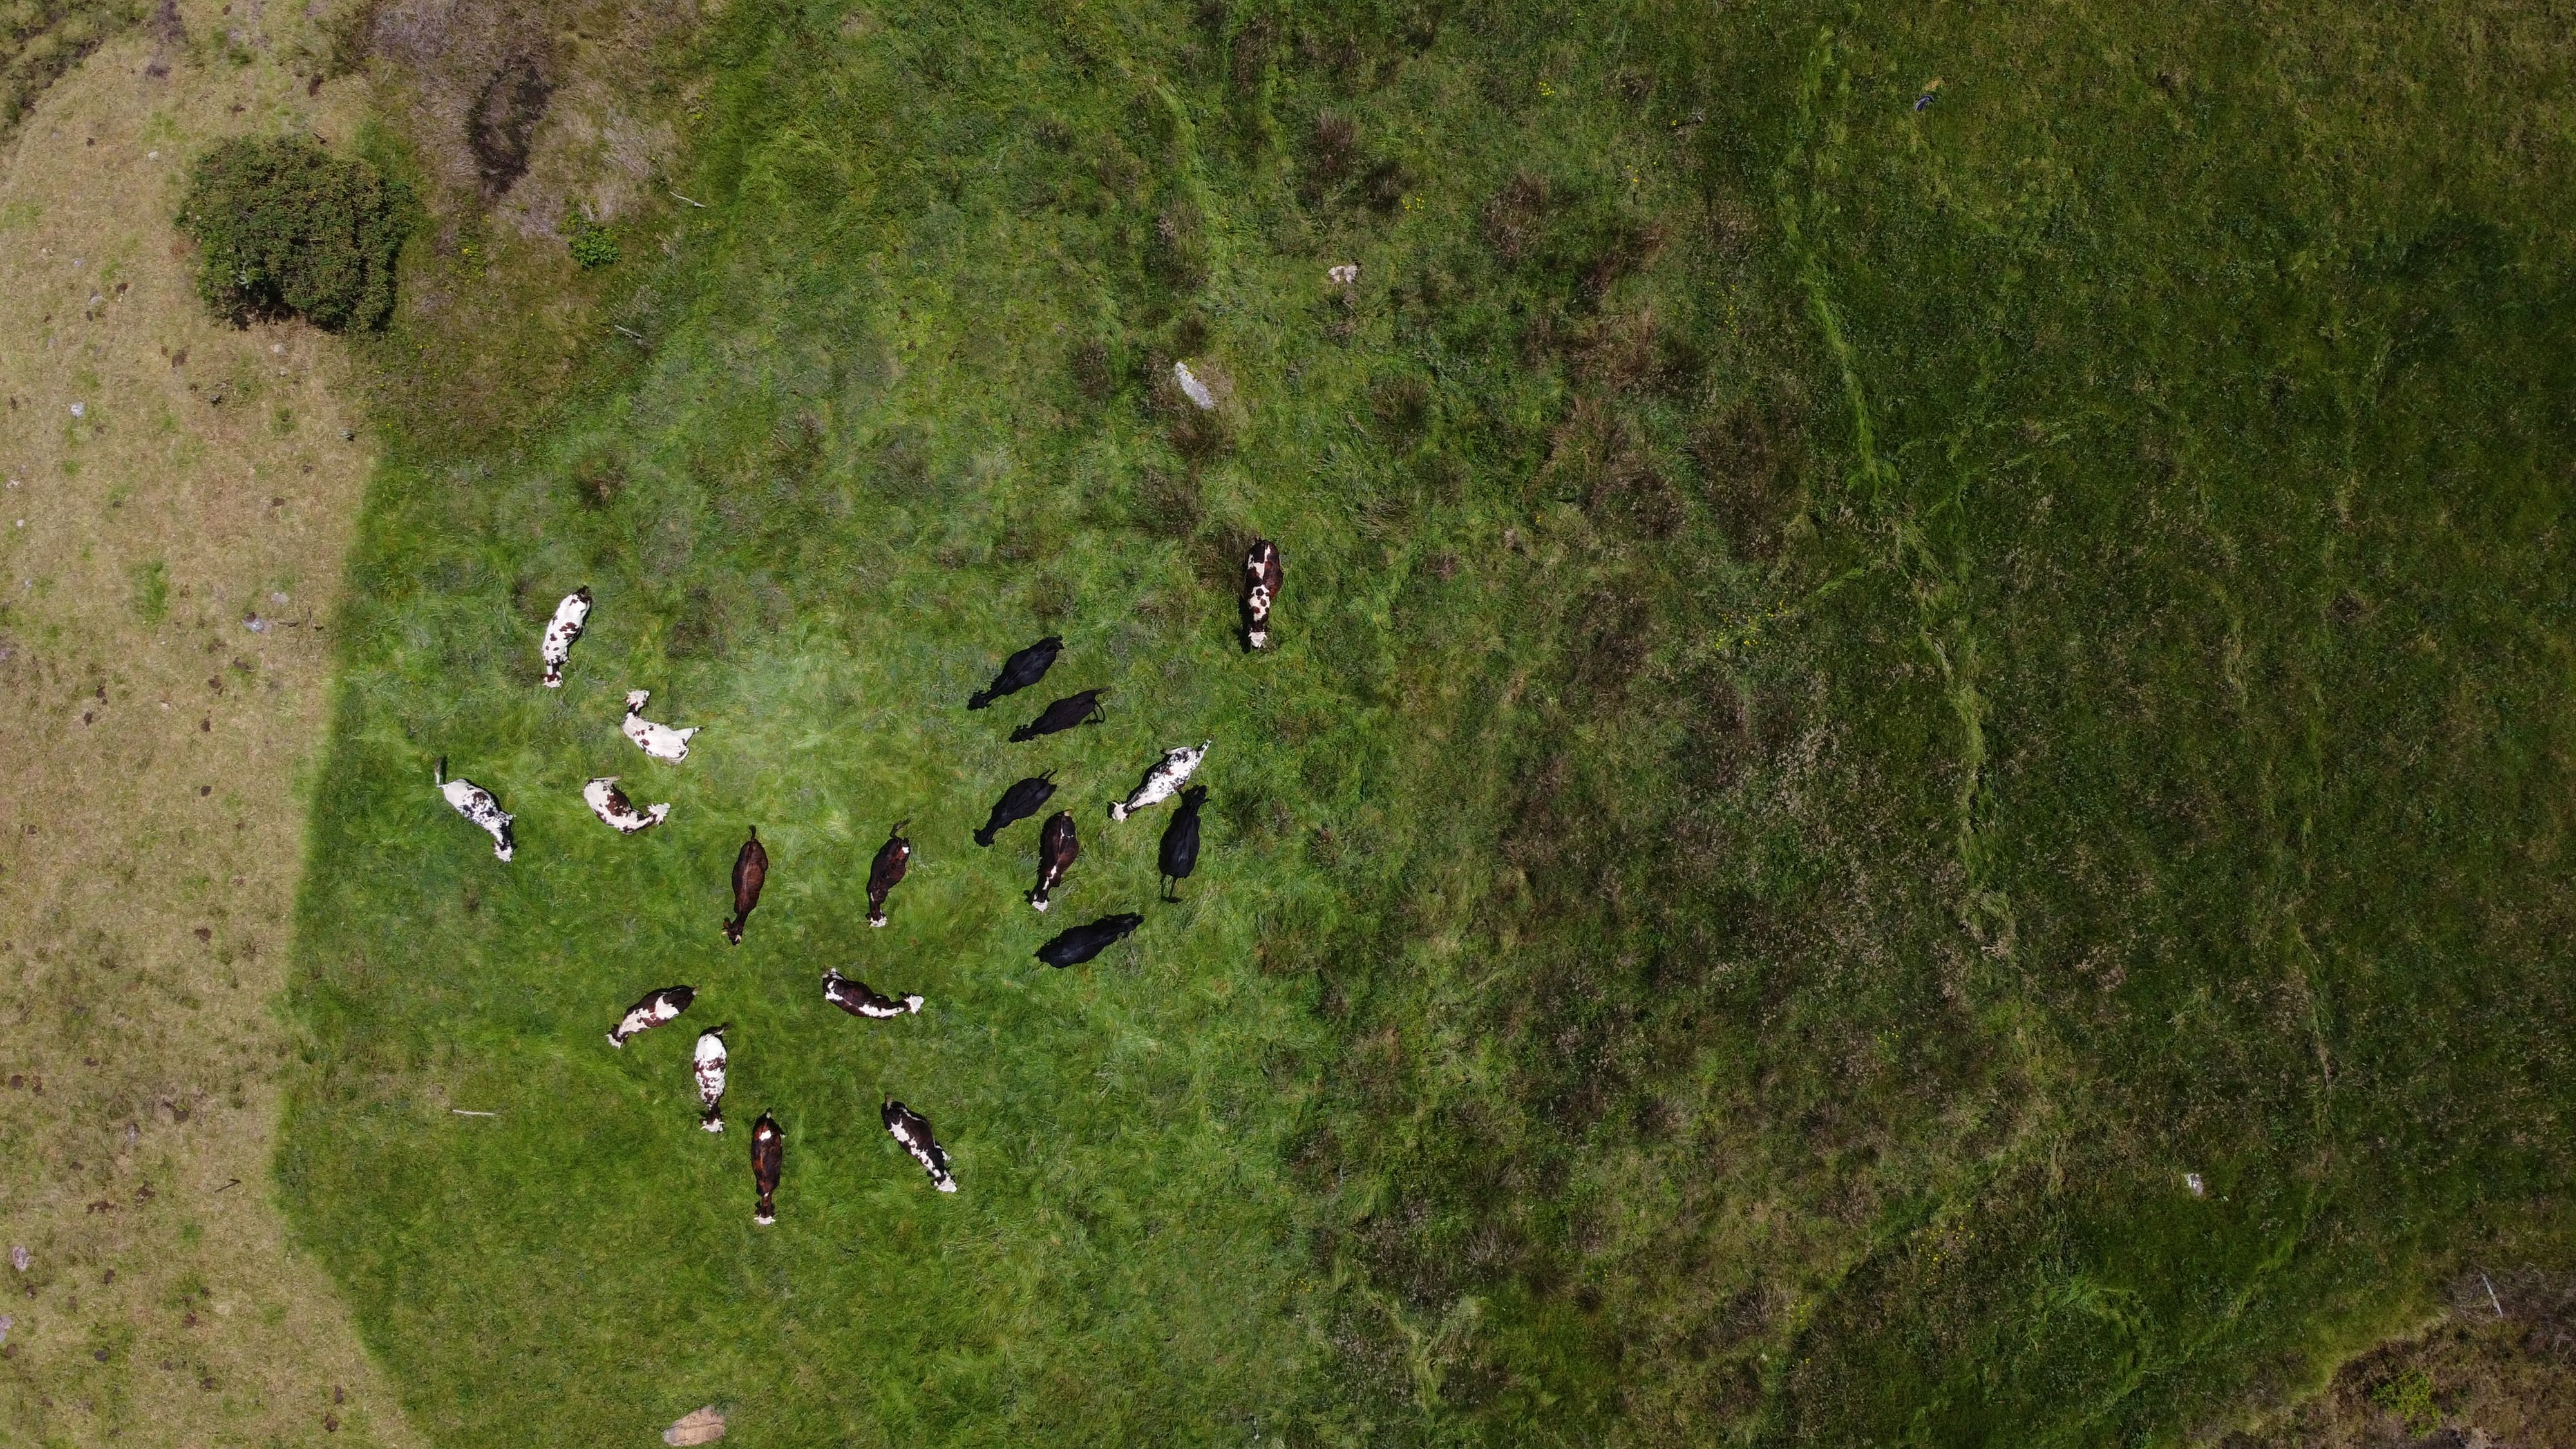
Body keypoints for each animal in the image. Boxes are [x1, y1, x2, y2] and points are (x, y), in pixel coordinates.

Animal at [540, 587, 592, 688]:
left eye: (557, 685)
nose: (560, 687)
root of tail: (577, 595)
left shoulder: (563, 653)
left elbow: (567, 660)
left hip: (585, 606)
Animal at [881, 1099, 956, 1193]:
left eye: (952, 1182)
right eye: (946, 1191)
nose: (955, 1190)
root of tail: (889, 1112)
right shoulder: (939, 1149)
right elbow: (946, 1156)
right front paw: (950, 1158)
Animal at [967, 635, 1063, 711]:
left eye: (978, 707)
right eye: (971, 700)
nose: (969, 708)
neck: (1002, 687)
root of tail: (1052, 647)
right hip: (1045, 641)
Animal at [1009, 689, 1106, 743]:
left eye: (1019, 739)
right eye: (1014, 733)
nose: (1010, 739)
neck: (1036, 729)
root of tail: (1090, 699)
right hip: (1085, 694)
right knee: (1099, 690)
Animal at [1111, 741, 1209, 821]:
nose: (1111, 817)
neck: (1145, 798)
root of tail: (1194, 753)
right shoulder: (1140, 791)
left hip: (1195, 759)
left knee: (1202, 752)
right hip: (1184, 749)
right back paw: (1167, 751)